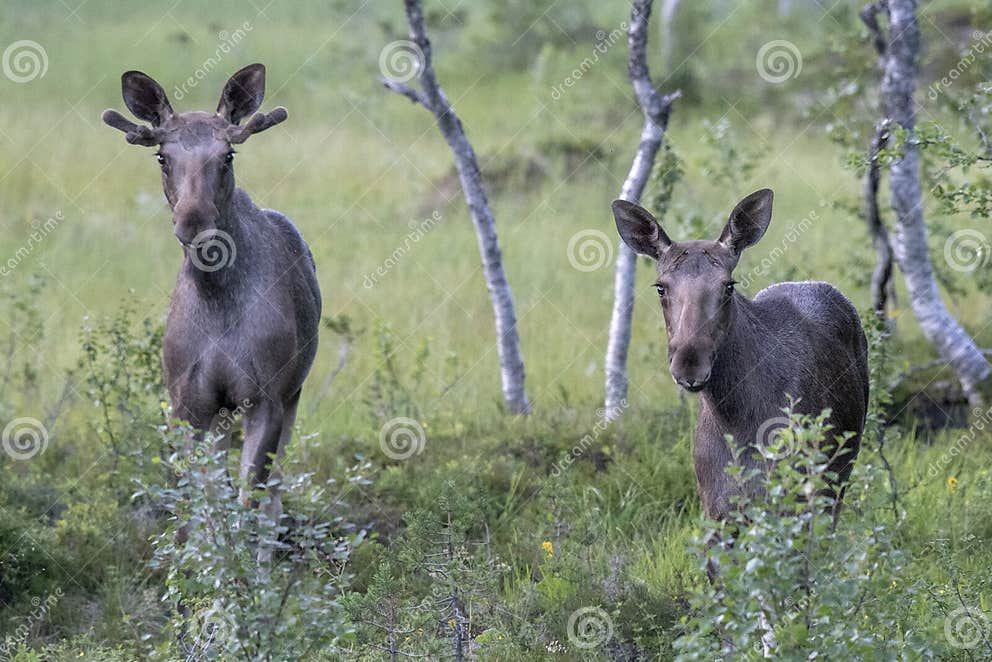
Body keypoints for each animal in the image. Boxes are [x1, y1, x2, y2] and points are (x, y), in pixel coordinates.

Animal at [102, 64, 321, 522]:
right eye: (162, 156)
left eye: (228, 155)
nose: (193, 220)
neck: (216, 301)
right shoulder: (189, 404)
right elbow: (201, 503)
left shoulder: (266, 396)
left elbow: (247, 500)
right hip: (223, 412)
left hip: (293, 389)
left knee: (275, 491)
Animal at [611, 189, 868, 526]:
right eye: (660, 287)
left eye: (728, 285)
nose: (689, 364)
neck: (734, 419)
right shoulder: (715, 507)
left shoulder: (793, 500)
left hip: (837, 474)